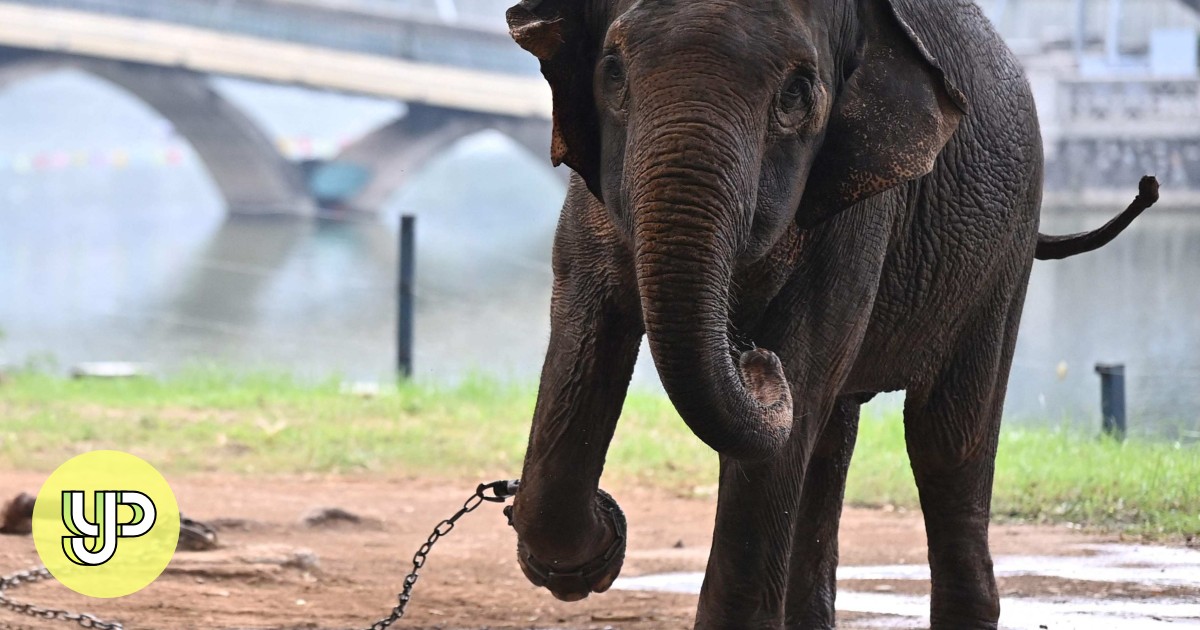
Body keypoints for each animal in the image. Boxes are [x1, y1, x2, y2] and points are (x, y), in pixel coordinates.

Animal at [502, 0, 1159, 628]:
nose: (754, 358)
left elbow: (800, 378)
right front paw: (592, 549)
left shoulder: (862, 209)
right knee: (831, 440)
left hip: (1004, 252)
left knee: (945, 441)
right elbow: (584, 330)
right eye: (612, 70)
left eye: (796, 94)